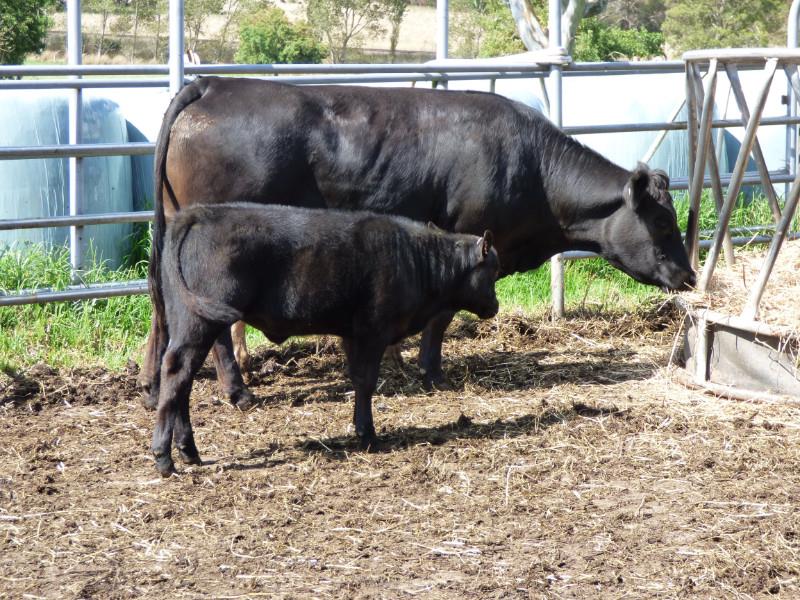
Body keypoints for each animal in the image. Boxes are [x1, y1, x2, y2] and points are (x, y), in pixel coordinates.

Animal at [141, 77, 695, 410]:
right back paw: (238, 391)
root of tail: (214, 84)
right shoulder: (472, 245)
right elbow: (442, 315)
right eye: (663, 222)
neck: (533, 167)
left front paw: (397, 360)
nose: (688, 275)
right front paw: (429, 370)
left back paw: (155, 387)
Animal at [151, 202, 500, 476]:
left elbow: (358, 380)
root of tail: (200, 212)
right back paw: (164, 458)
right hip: (200, 322)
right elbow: (366, 381)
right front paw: (368, 435)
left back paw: (188, 451)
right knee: (177, 372)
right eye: (493, 272)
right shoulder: (373, 332)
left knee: (182, 381)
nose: (495, 306)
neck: (415, 259)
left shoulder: (352, 334)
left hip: (188, 319)